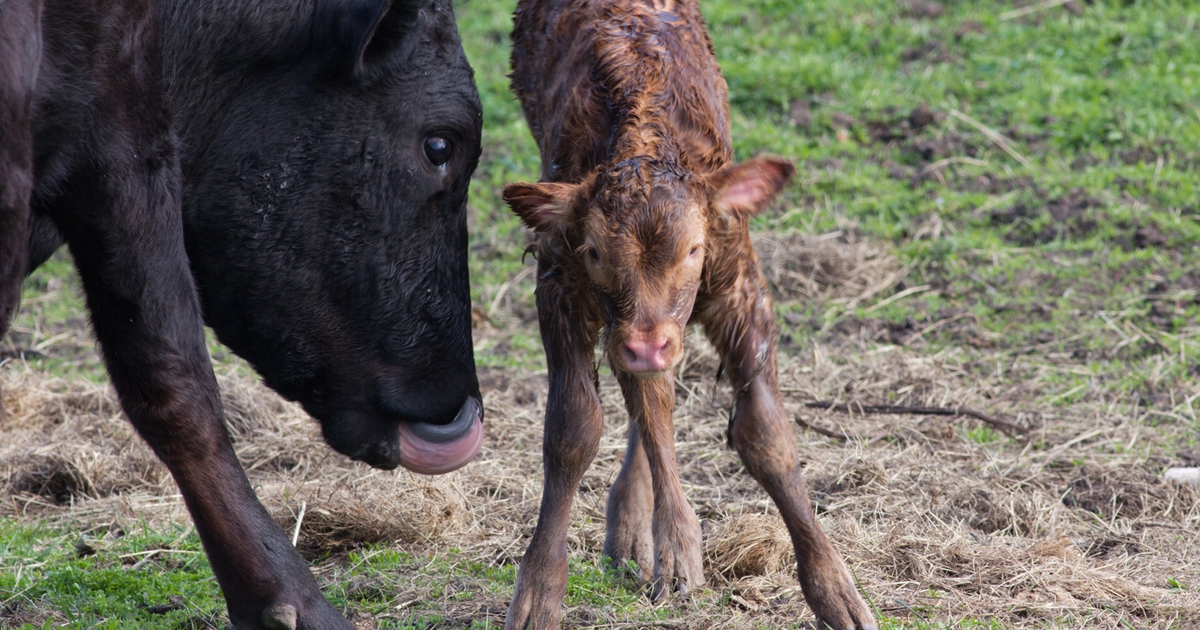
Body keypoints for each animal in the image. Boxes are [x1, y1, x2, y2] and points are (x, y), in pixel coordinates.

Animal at [500, 1, 877, 629]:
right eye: (594, 251)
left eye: (695, 248)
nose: (647, 342)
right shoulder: (560, 286)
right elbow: (575, 429)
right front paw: (539, 590)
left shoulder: (739, 286)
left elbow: (768, 437)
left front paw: (836, 592)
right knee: (644, 392)